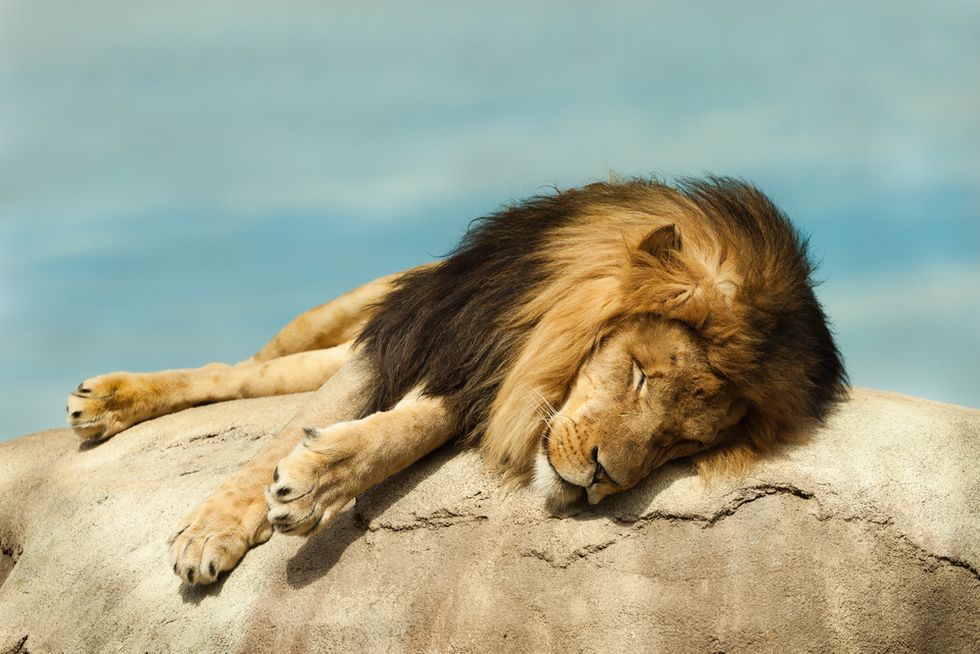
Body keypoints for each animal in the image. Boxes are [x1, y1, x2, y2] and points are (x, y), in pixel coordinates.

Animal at [65, 177, 847, 586]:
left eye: (683, 443)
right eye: (639, 375)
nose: (601, 478)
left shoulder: (477, 377)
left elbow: (399, 431)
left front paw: (318, 482)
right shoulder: (428, 331)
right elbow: (274, 443)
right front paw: (215, 532)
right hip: (372, 299)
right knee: (246, 367)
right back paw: (107, 400)